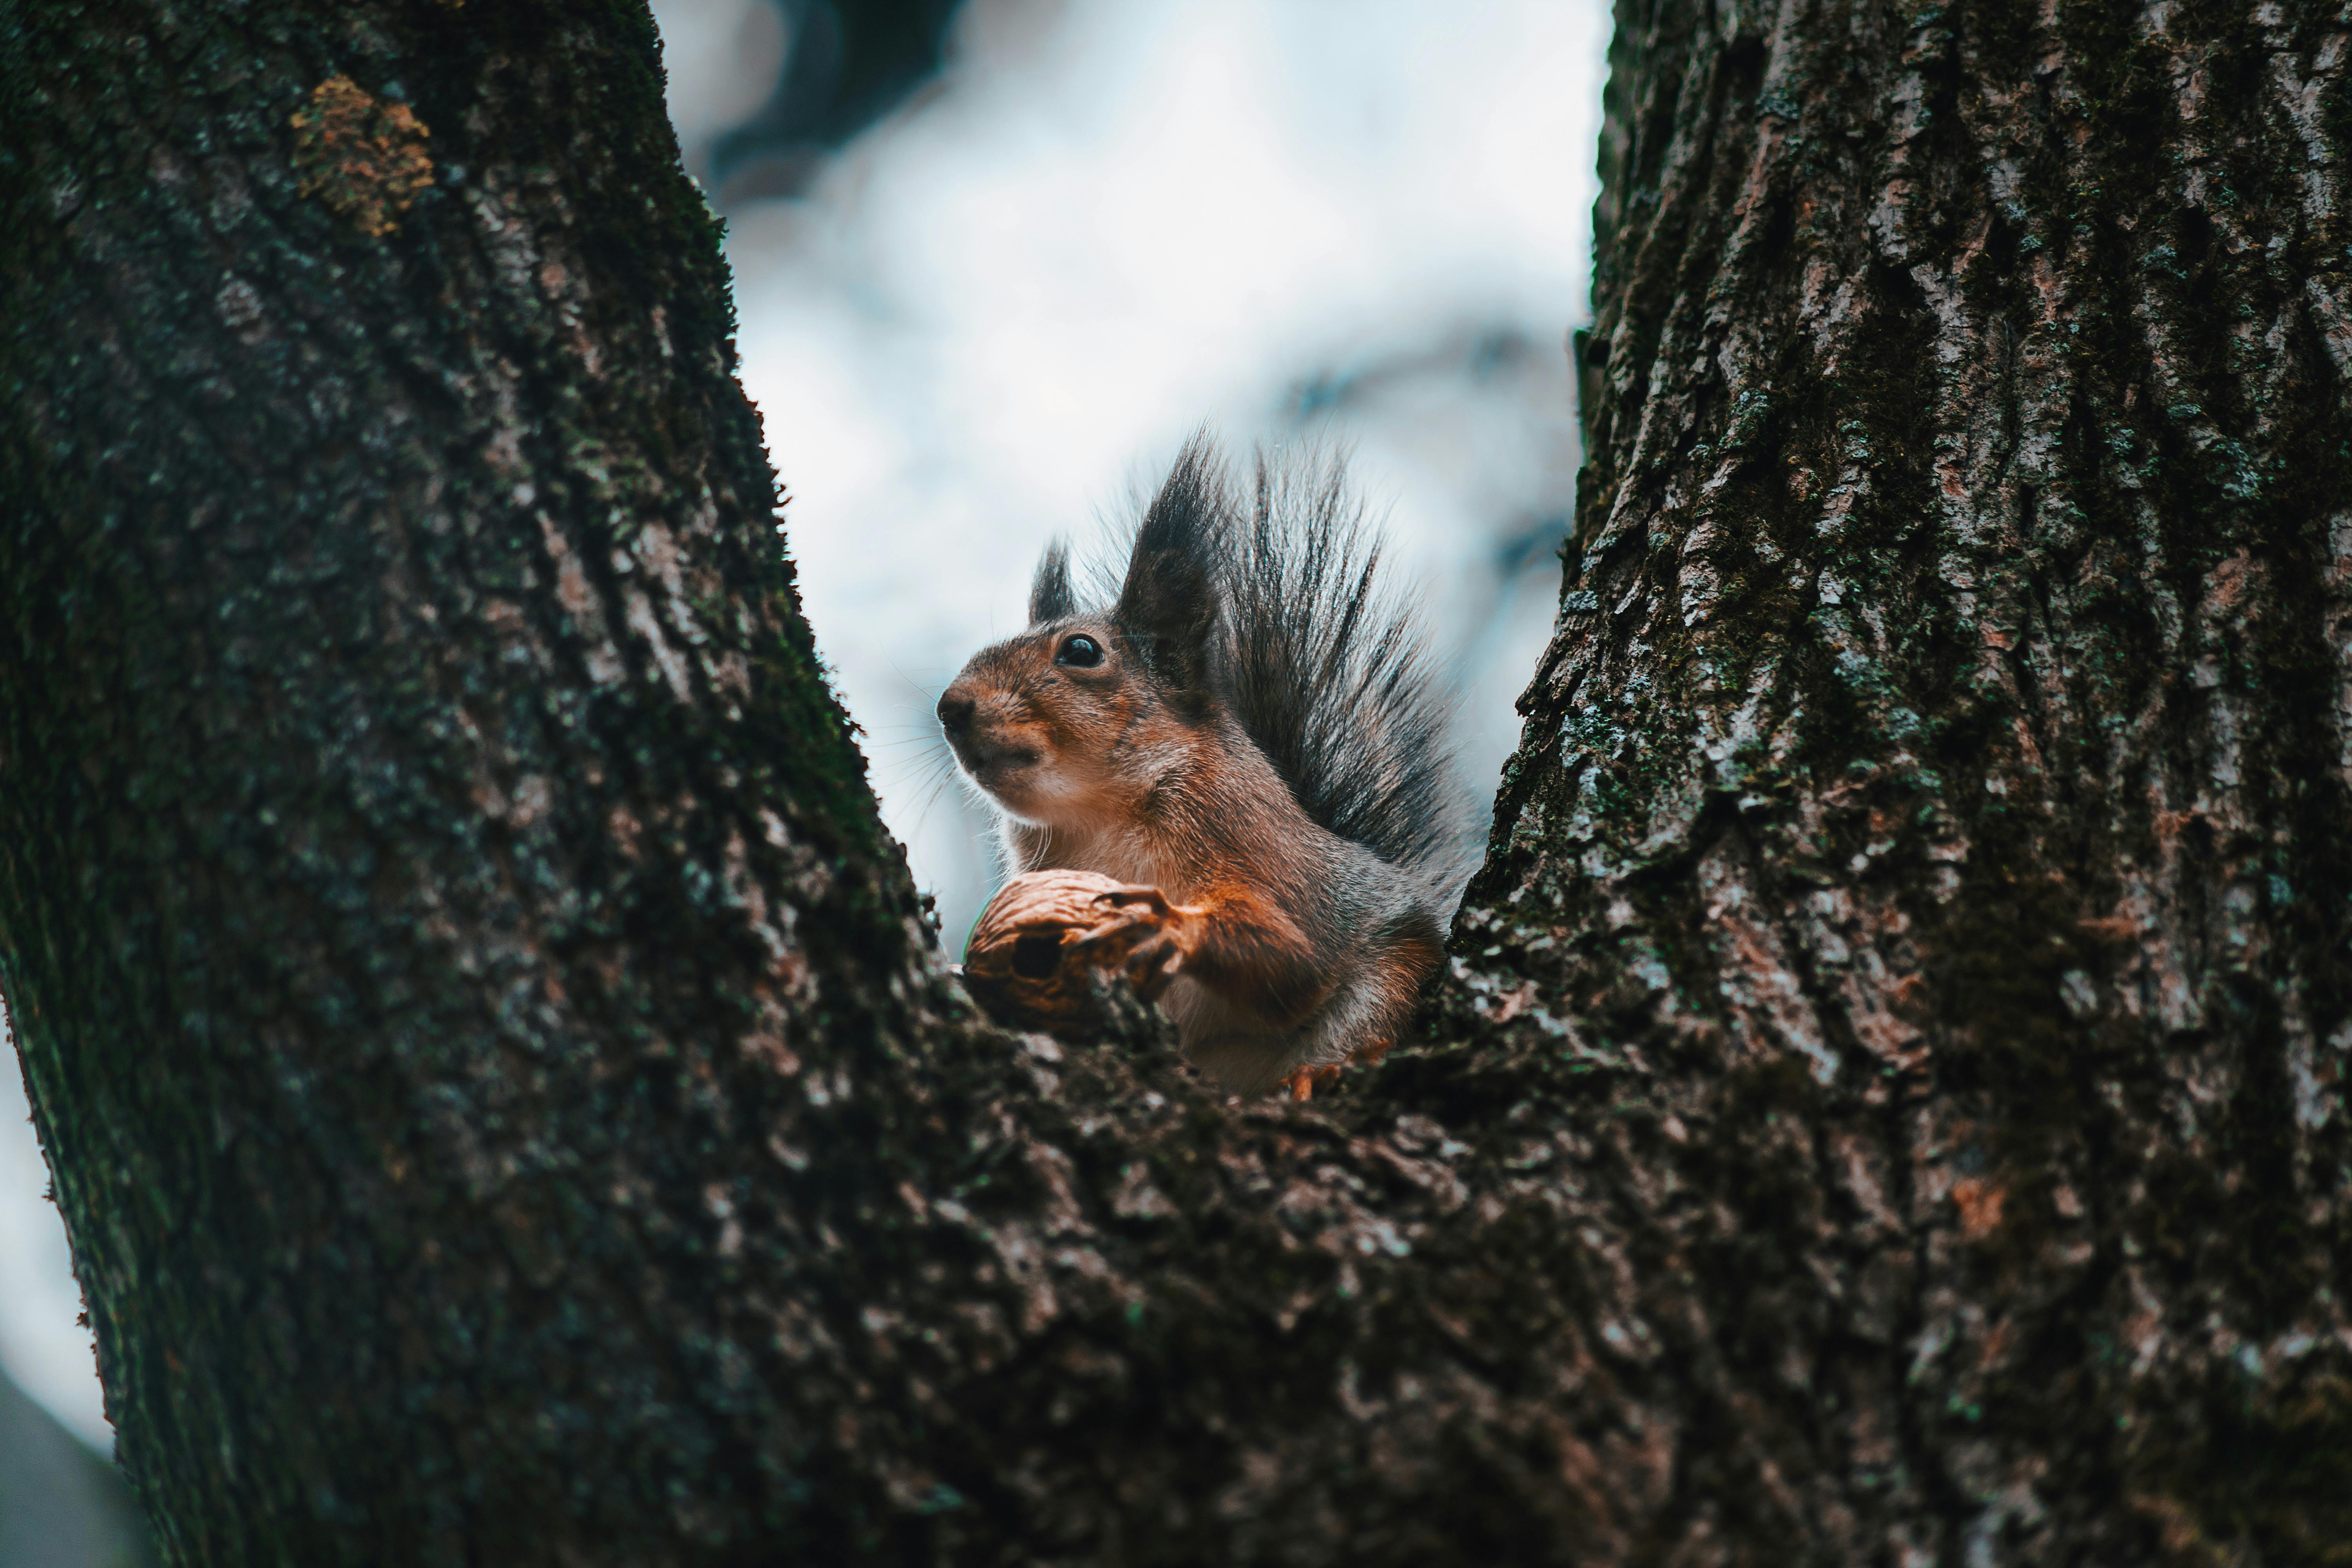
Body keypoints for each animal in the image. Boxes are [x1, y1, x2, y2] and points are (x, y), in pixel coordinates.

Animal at [936, 438, 1468, 1098]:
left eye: (1082, 651)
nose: (950, 707)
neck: (1097, 816)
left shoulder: (1264, 851)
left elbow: (1297, 958)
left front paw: (1170, 925)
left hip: (1391, 979)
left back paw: (1321, 1071)